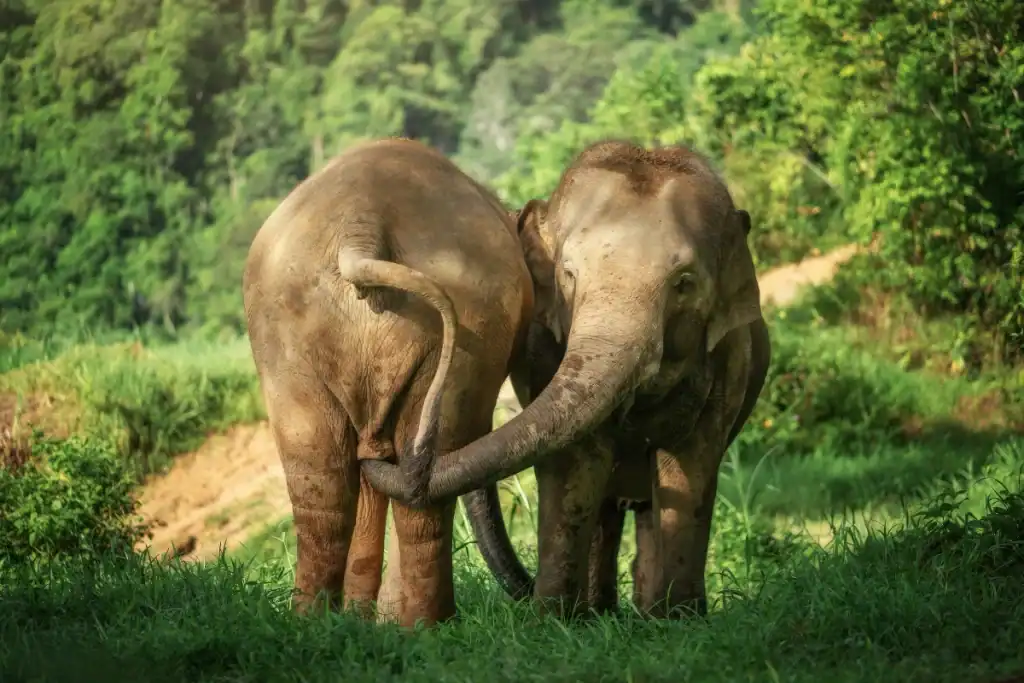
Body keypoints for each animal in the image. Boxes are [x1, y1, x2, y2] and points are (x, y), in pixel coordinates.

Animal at [242, 137, 534, 628]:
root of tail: (360, 230)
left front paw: (367, 621)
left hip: (293, 337)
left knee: (328, 482)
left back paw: (318, 623)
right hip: (454, 330)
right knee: (418, 474)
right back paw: (425, 627)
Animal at [362, 140, 771, 619]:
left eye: (684, 283)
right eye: (569, 274)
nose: (379, 455)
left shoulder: (727, 360)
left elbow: (690, 466)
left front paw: (680, 620)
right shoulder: (546, 352)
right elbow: (576, 459)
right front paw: (555, 621)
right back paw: (603, 612)